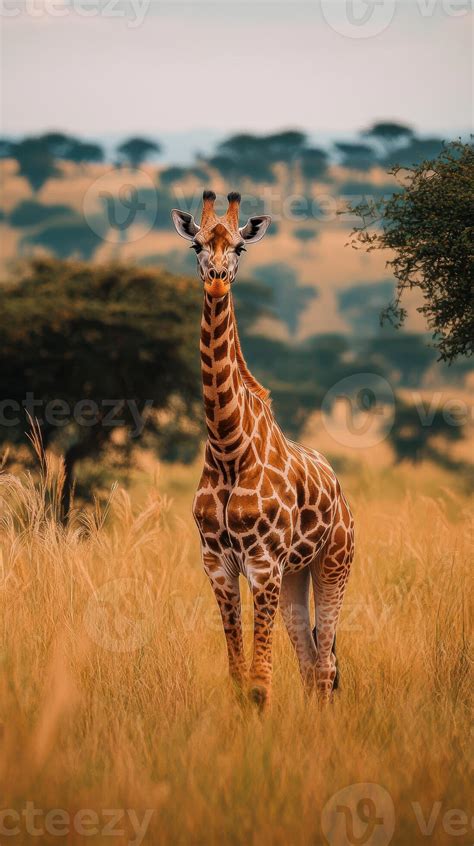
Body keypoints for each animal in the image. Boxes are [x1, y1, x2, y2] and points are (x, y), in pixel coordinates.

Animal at [171, 191, 354, 709]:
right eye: (196, 245)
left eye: (240, 247)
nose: (216, 281)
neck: (229, 448)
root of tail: (340, 490)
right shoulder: (218, 564)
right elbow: (239, 680)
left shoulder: (263, 564)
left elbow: (258, 685)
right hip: (295, 575)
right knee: (312, 663)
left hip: (333, 563)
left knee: (327, 663)